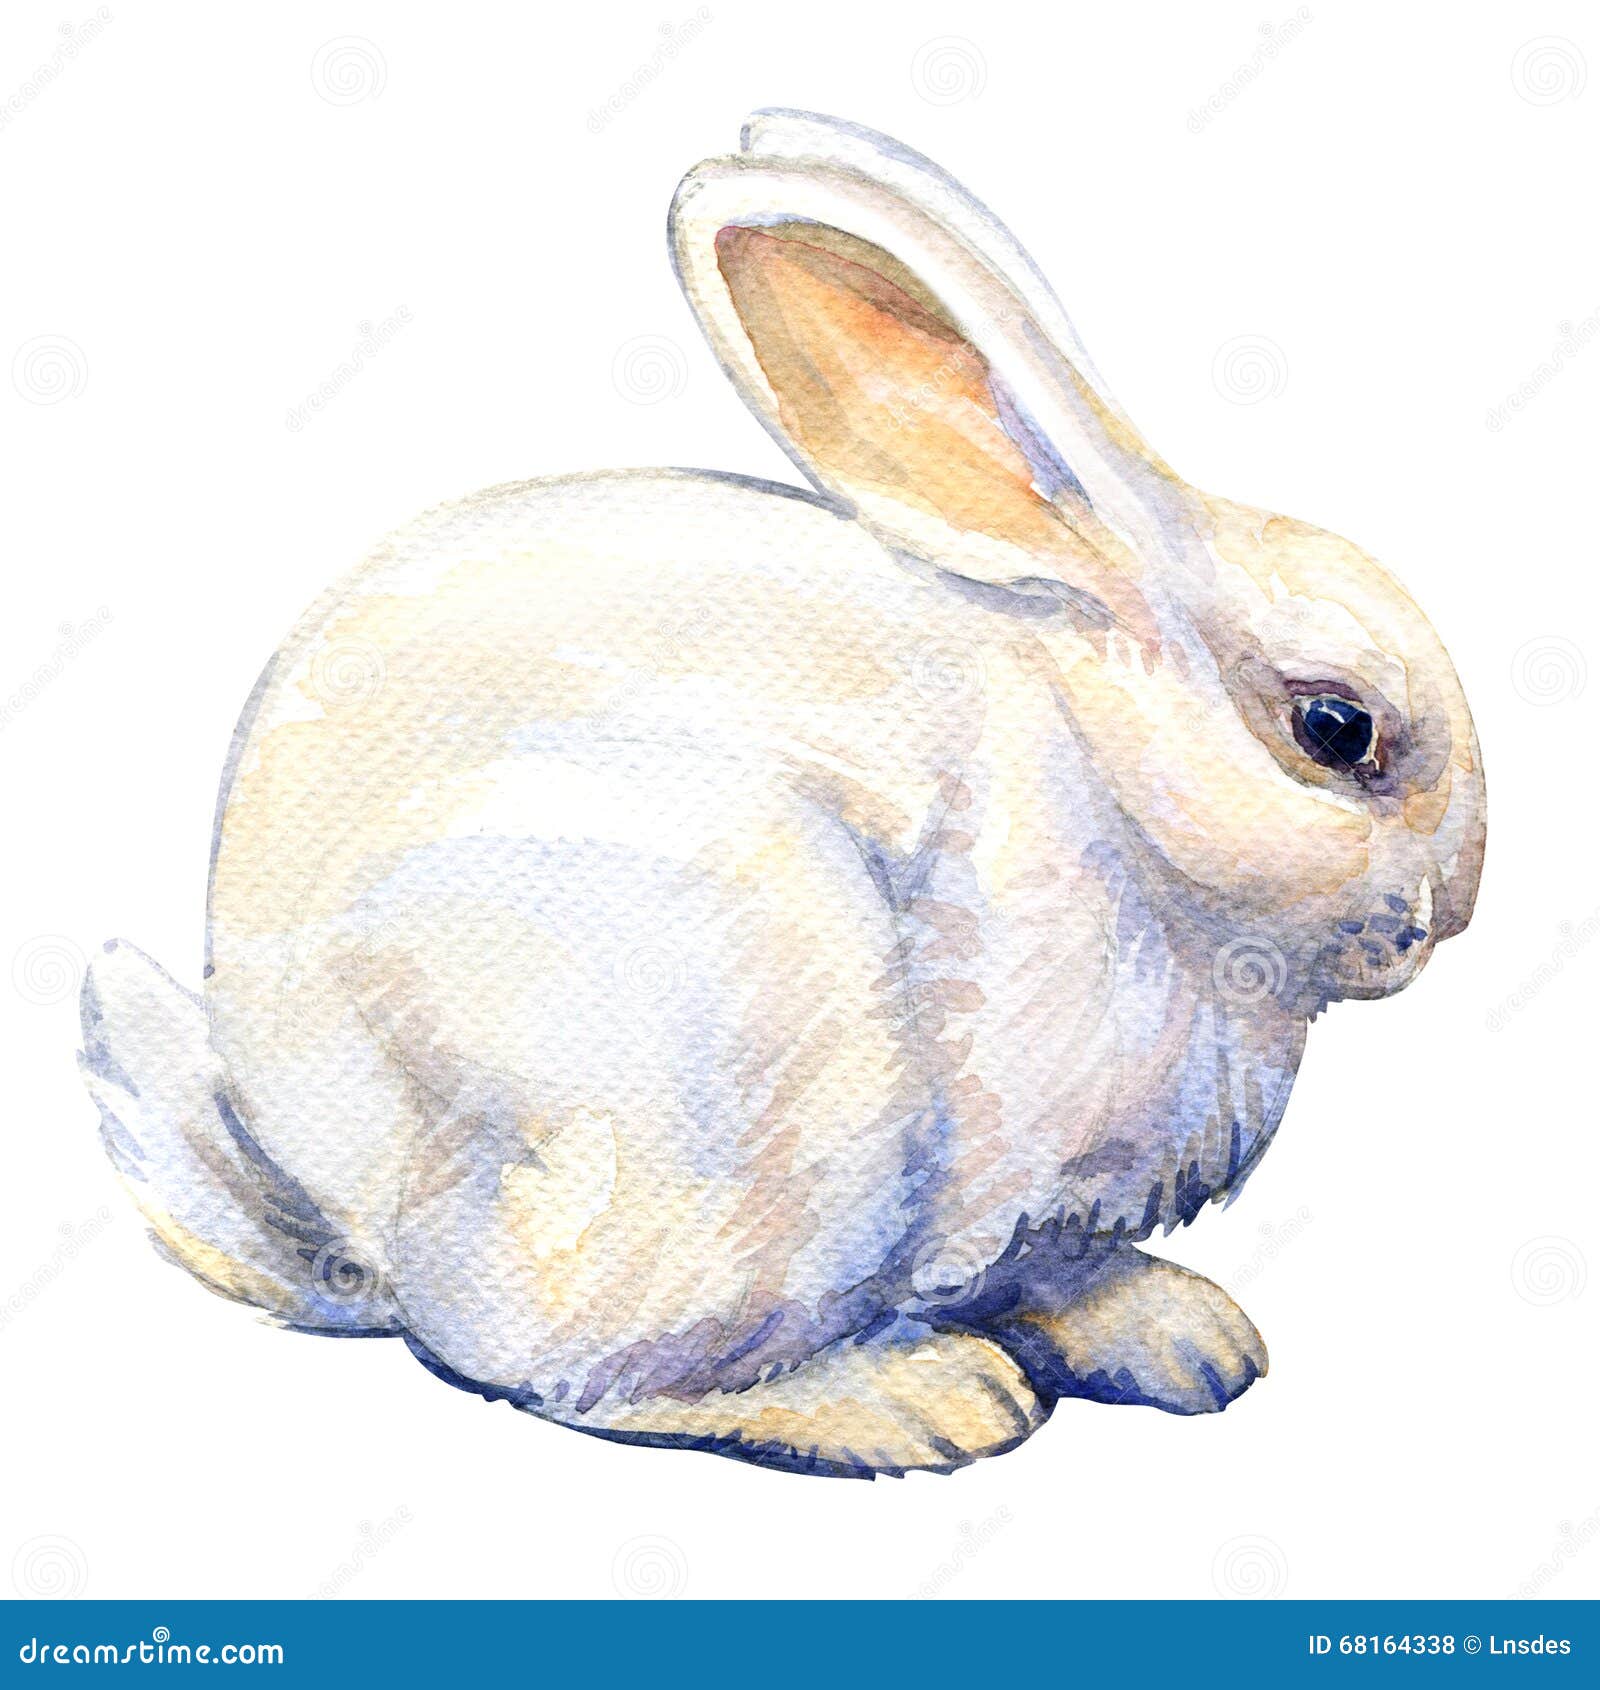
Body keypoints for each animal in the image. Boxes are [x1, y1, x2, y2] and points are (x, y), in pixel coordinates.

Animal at [79, 110, 1485, 1478]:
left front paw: (1184, 1339)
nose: (1441, 924)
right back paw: (910, 1402)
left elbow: (1057, 1270)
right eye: (1334, 728)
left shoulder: (1048, 1213)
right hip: (730, 1065)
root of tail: (348, 1216)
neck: (1108, 782)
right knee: (555, 1368)